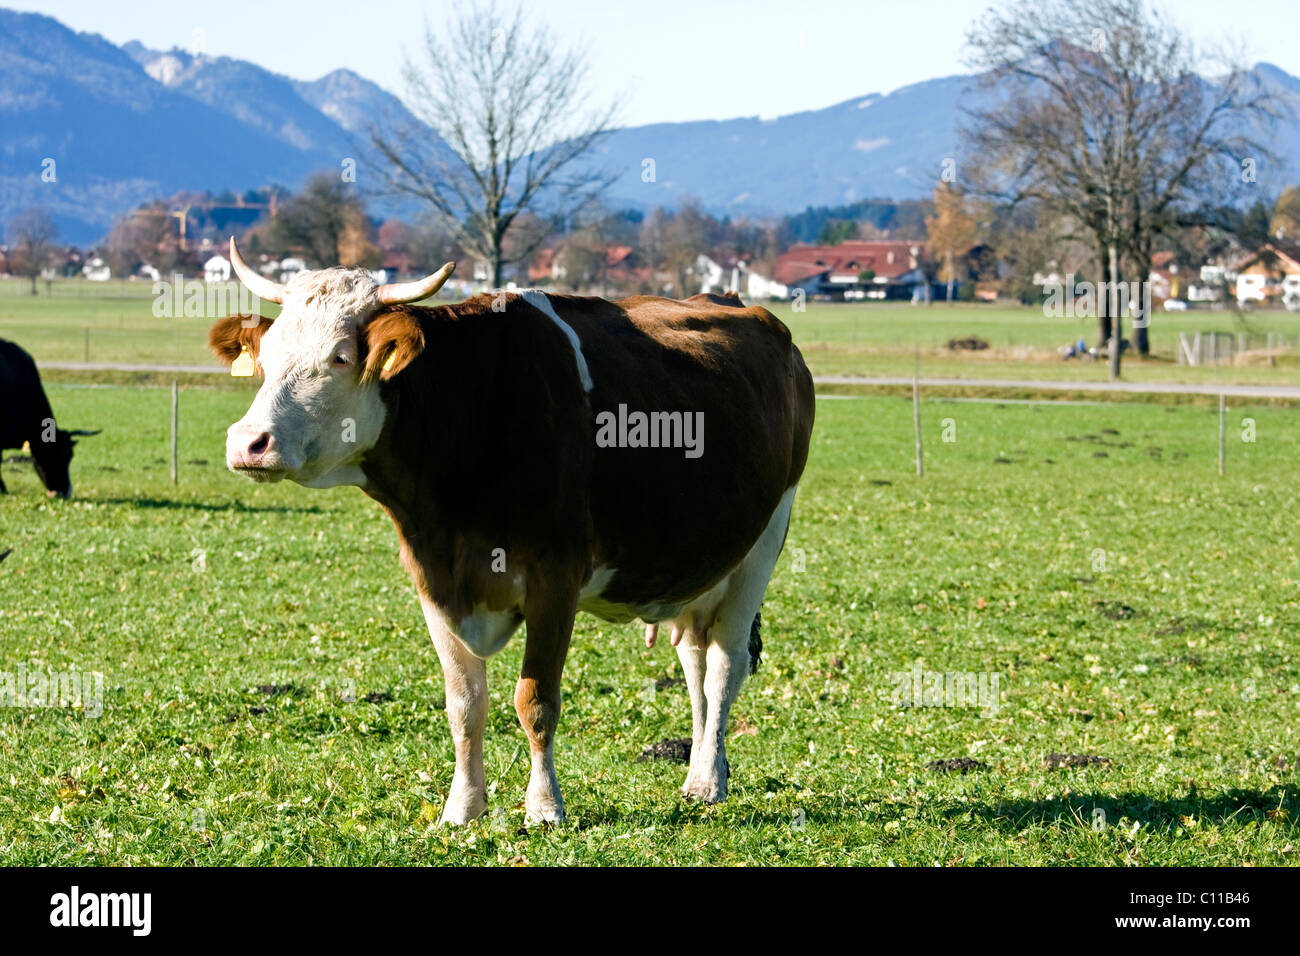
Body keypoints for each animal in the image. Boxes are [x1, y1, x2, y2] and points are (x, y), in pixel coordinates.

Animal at [210, 239, 814, 824]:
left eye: (339, 356)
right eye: (266, 357)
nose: (248, 442)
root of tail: (737, 303)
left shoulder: (556, 577)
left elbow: (536, 701)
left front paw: (545, 807)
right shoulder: (434, 581)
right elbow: (464, 703)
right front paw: (462, 807)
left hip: (762, 545)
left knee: (723, 666)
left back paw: (708, 780)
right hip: (694, 568)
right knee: (694, 660)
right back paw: (700, 771)